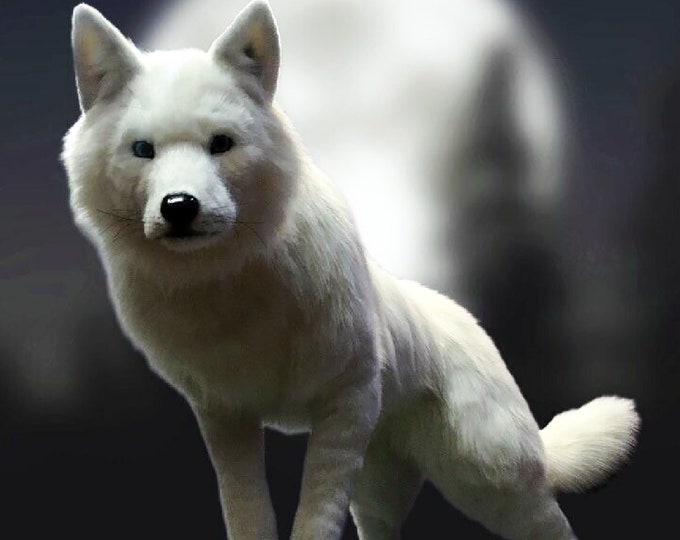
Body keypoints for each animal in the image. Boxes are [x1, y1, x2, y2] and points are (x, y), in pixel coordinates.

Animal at [62, 2, 640, 539]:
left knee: (550, 523)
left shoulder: (345, 403)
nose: (179, 206)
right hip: (380, 491)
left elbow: (315, 515)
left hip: (492, 483)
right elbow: (246, 510)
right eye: (143, 150)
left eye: (220, 143)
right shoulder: (225, 417)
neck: (230, 293)